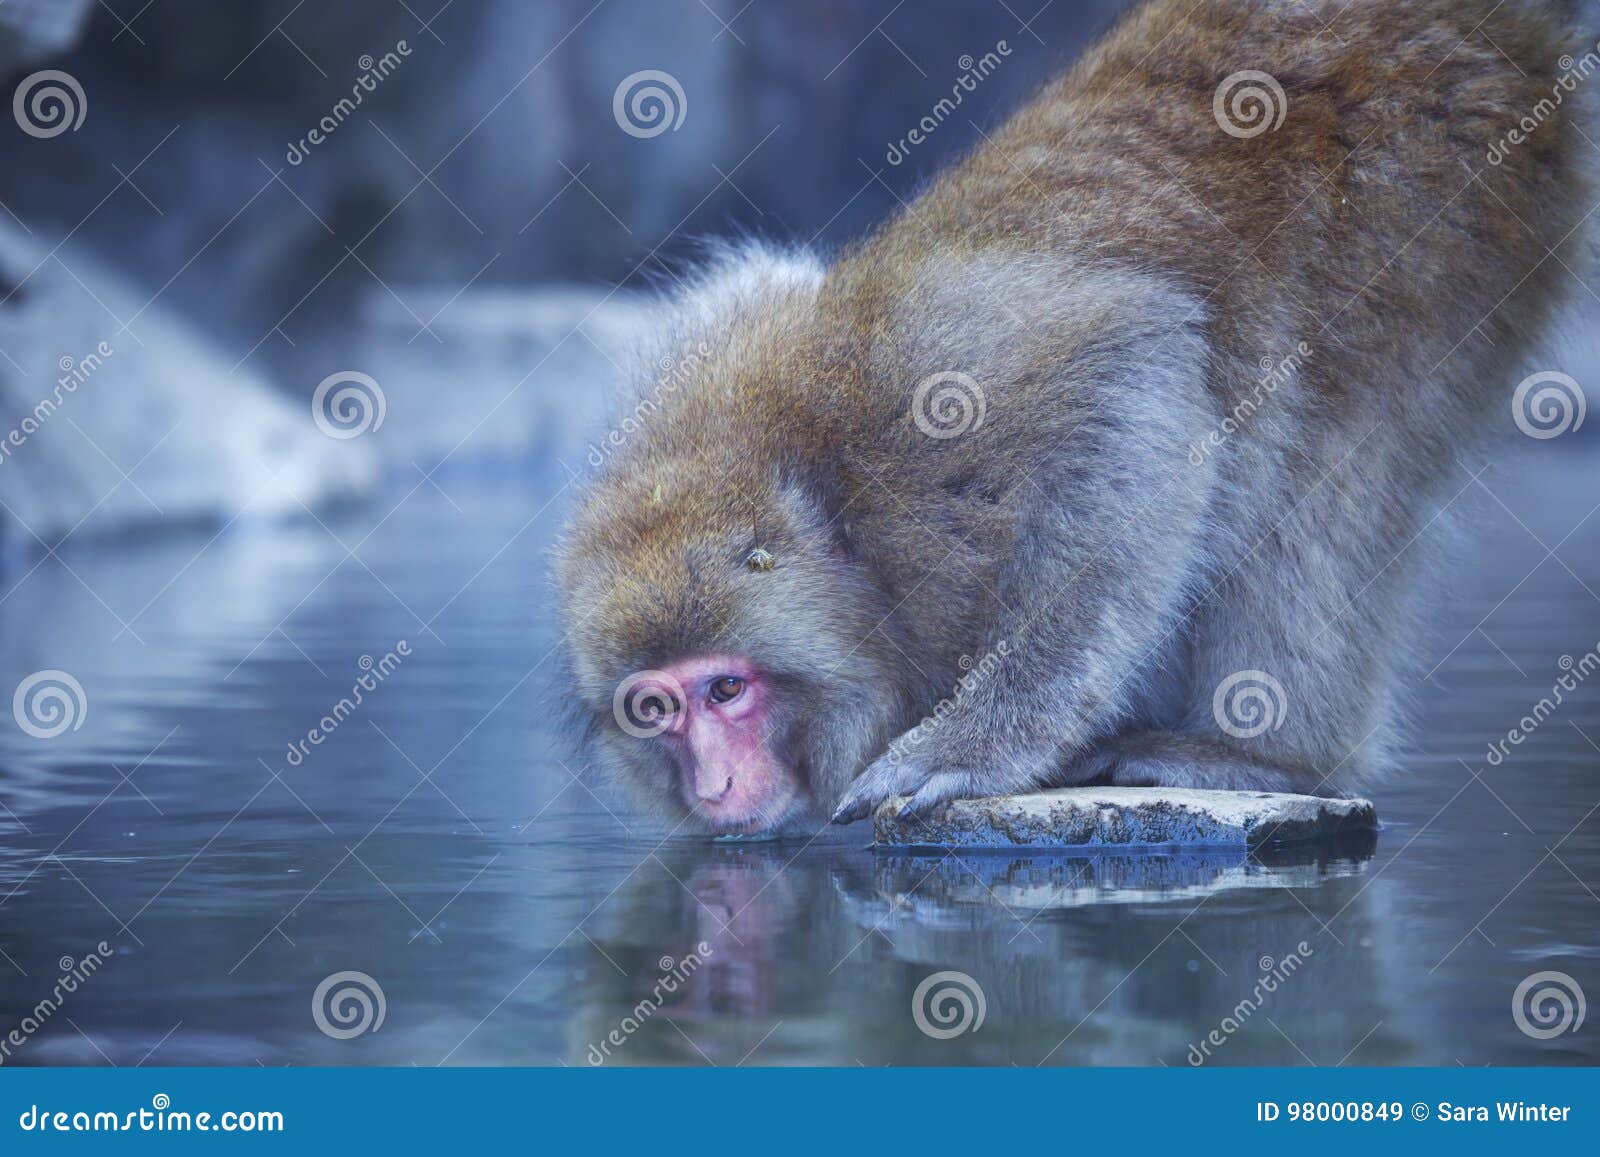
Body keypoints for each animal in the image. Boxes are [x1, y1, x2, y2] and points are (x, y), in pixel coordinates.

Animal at [556, 0, 1598, 836]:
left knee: (1332, 445)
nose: (713, 786)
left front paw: (975, 743)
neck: (839, 524)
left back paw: (1274, 755)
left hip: (1449, 185)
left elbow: (1129, 367)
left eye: (726, 688)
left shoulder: (931, 388)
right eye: (655, 711)